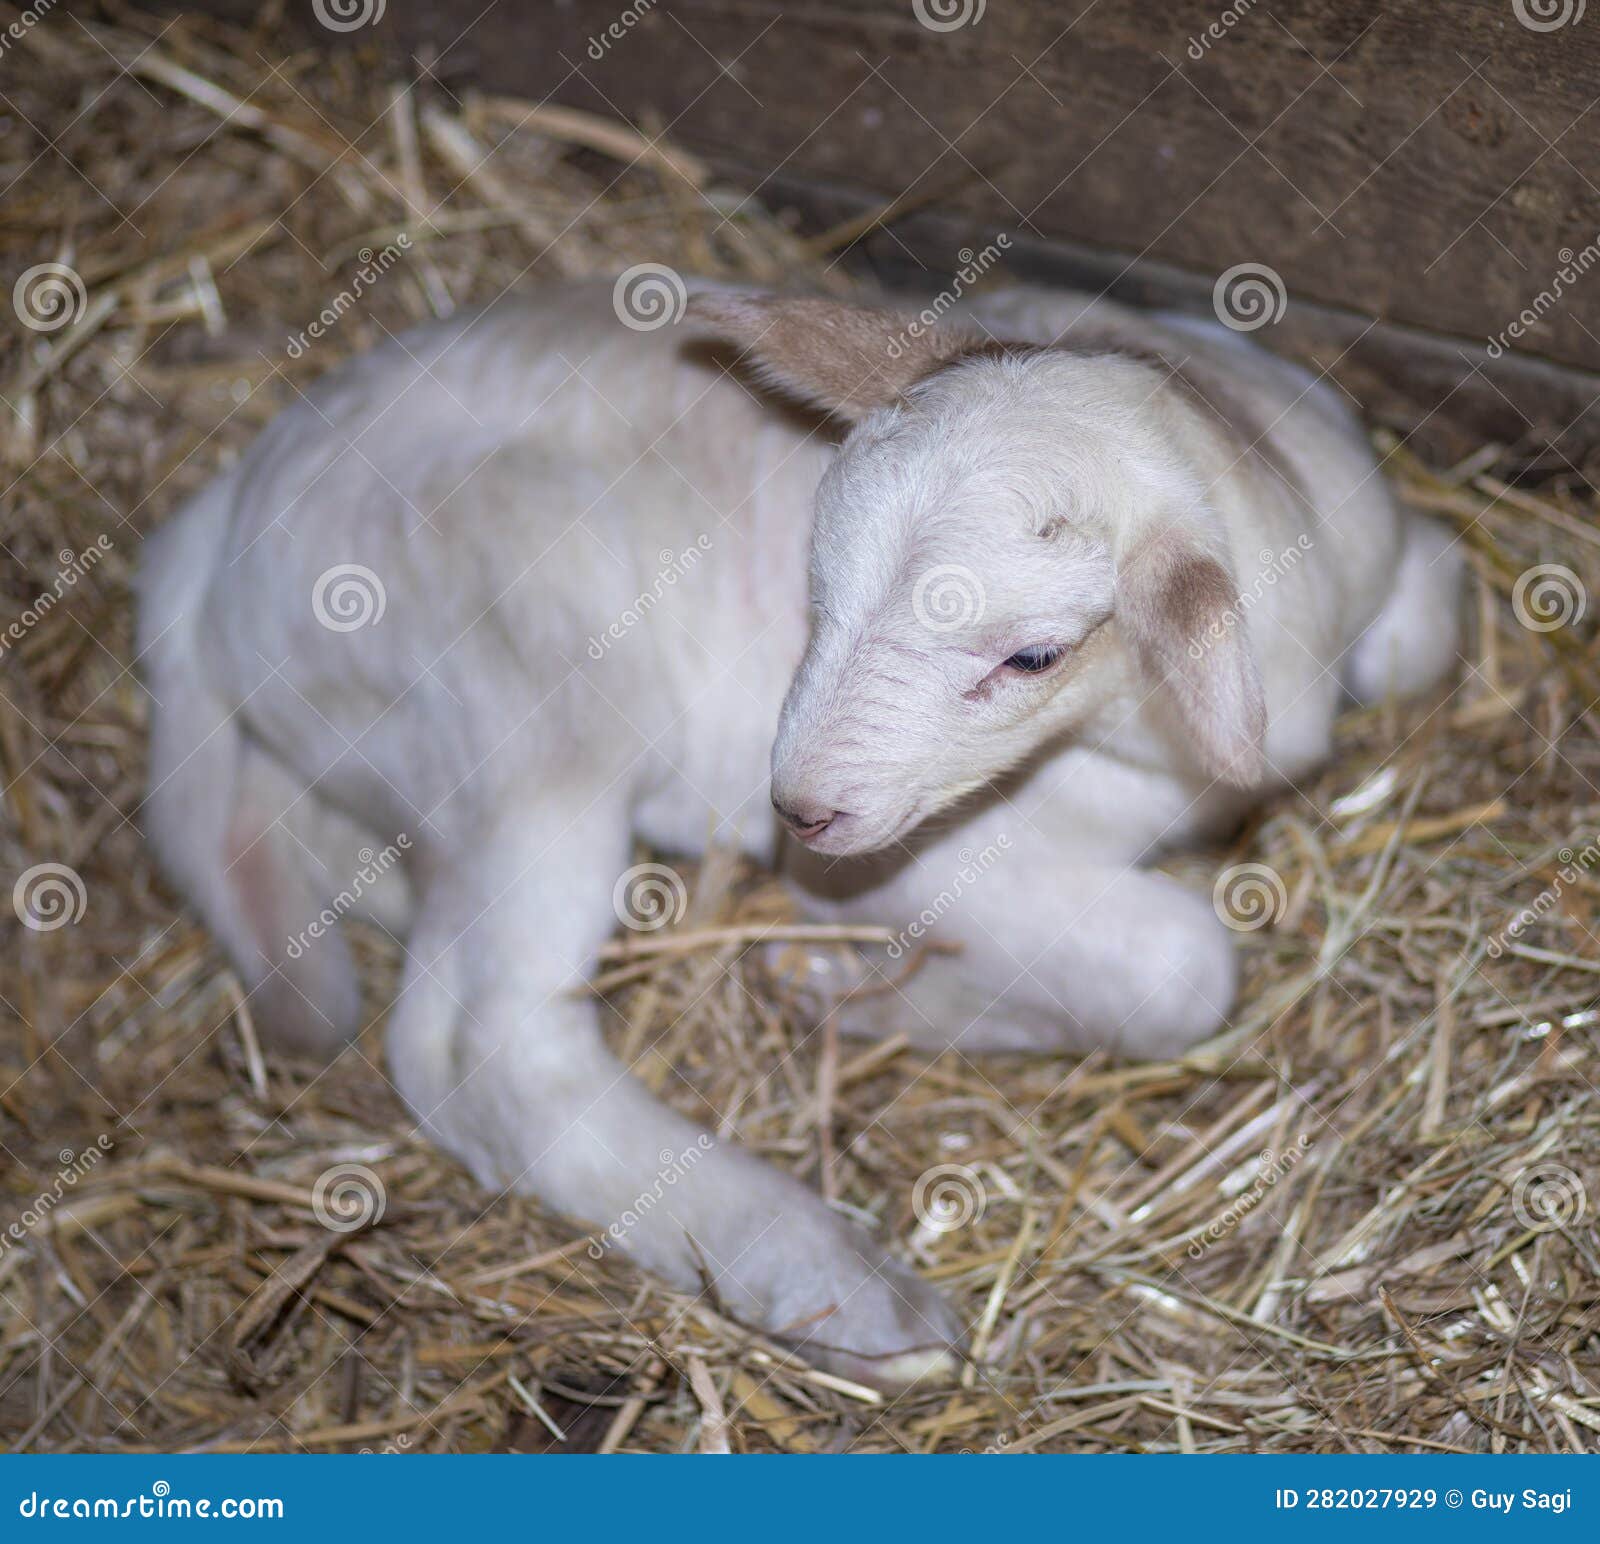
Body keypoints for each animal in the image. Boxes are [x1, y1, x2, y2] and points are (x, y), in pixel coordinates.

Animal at [136, 276, 1461, 1386]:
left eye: (1033, 654)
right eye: (812, 582)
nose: (797, 808)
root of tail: (220, 521)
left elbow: (1432, 615)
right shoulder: (912, 859)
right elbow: (1185, 964)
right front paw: (828, 980)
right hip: (522, 710)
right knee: (480, 1041)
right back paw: (838, 1283)